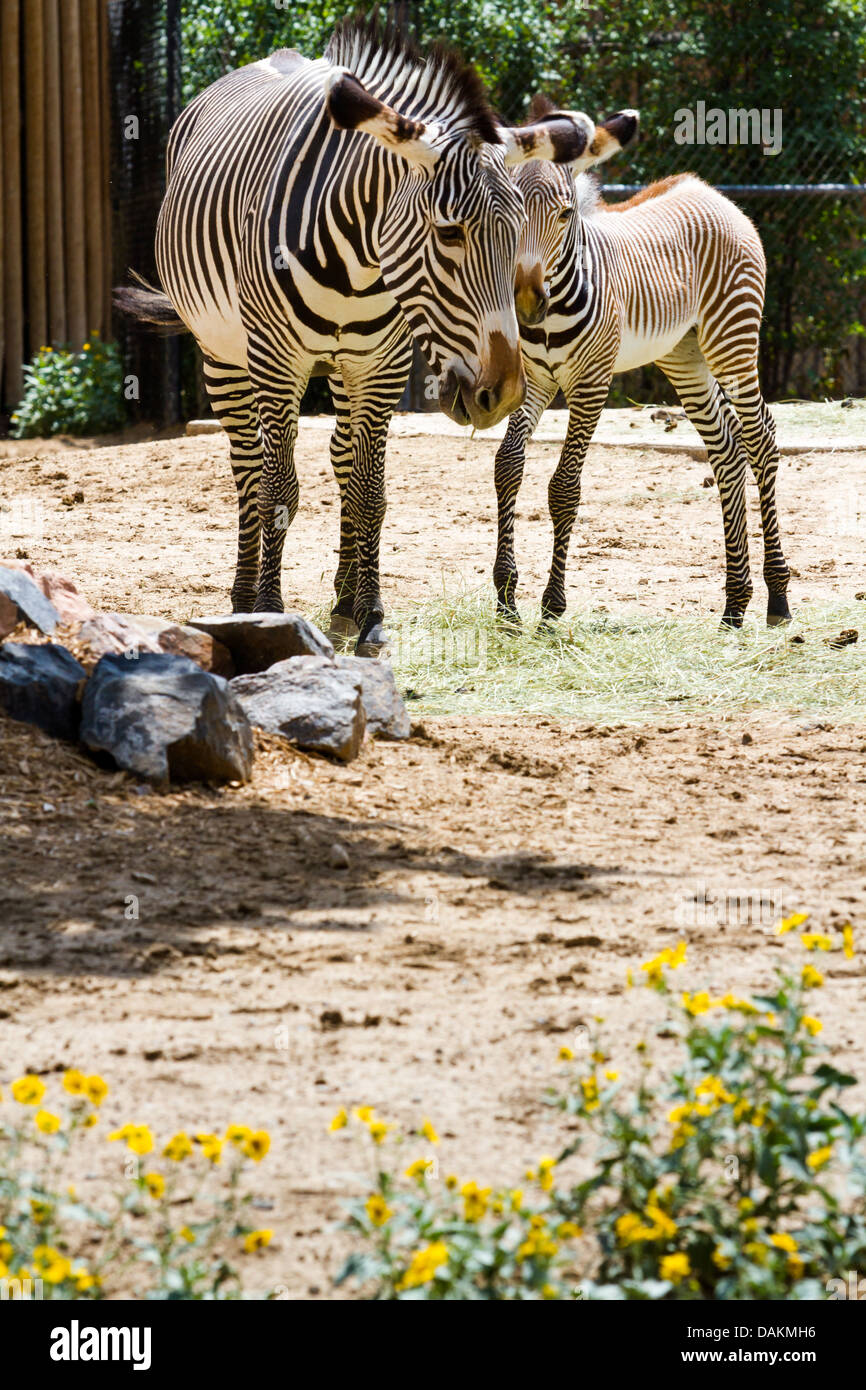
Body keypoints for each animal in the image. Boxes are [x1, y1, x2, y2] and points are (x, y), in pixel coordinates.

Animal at [116, 16, 604, 654]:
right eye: (449, 232)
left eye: (524, 227)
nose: (500, 396)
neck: (358, 261)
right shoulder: (276, 361)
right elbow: (279, 489)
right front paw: (270, 613)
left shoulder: (382, 365)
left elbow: (370, 490)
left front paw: (369, 614)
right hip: (223, 355)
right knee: (248, 469)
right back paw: (243, 598)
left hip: (346, 366)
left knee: (343, 460)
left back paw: (344, 601)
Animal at [495, 96, 792, 631]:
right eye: (510, 210)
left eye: (565, 214)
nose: (527, 302)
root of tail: (707, 190)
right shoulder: (535, 380)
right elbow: (508, 465)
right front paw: (506, 596)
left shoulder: (591, 383)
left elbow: (564, 487)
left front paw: (552, 604)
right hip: (684, 356)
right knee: (726, 448)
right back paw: (735, 603)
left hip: (732, 337)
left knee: (762, 439)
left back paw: (777, 597)